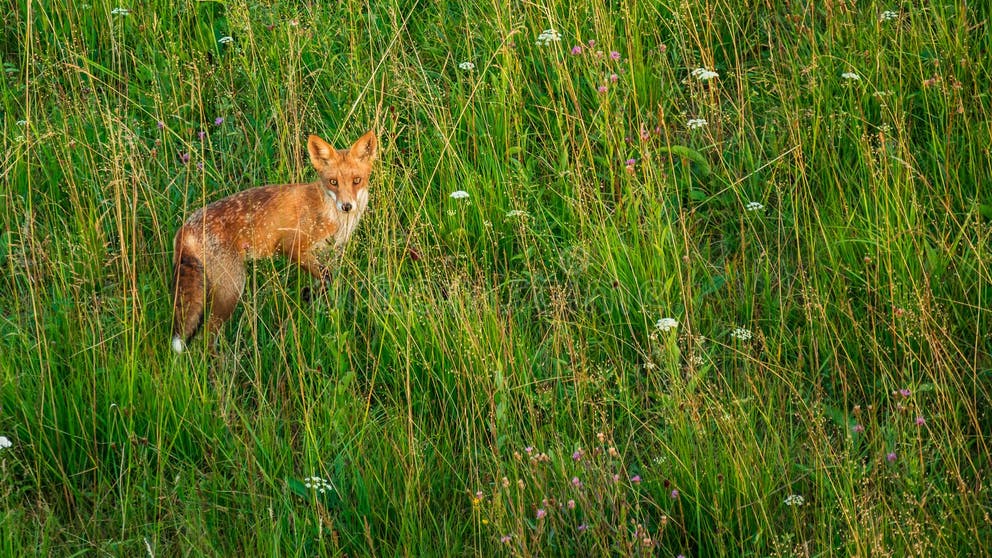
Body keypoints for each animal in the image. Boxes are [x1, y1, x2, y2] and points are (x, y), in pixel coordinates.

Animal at [170, 130, 377, 354]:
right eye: (333, 182)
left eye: (357, 180)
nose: (346, 206)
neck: (329, 214)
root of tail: (185, 227)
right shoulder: (292, 247)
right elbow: (326, 277)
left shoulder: (328, 254)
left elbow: (327, 280)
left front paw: (311, 296)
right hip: (232, 288)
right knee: (205, 340)